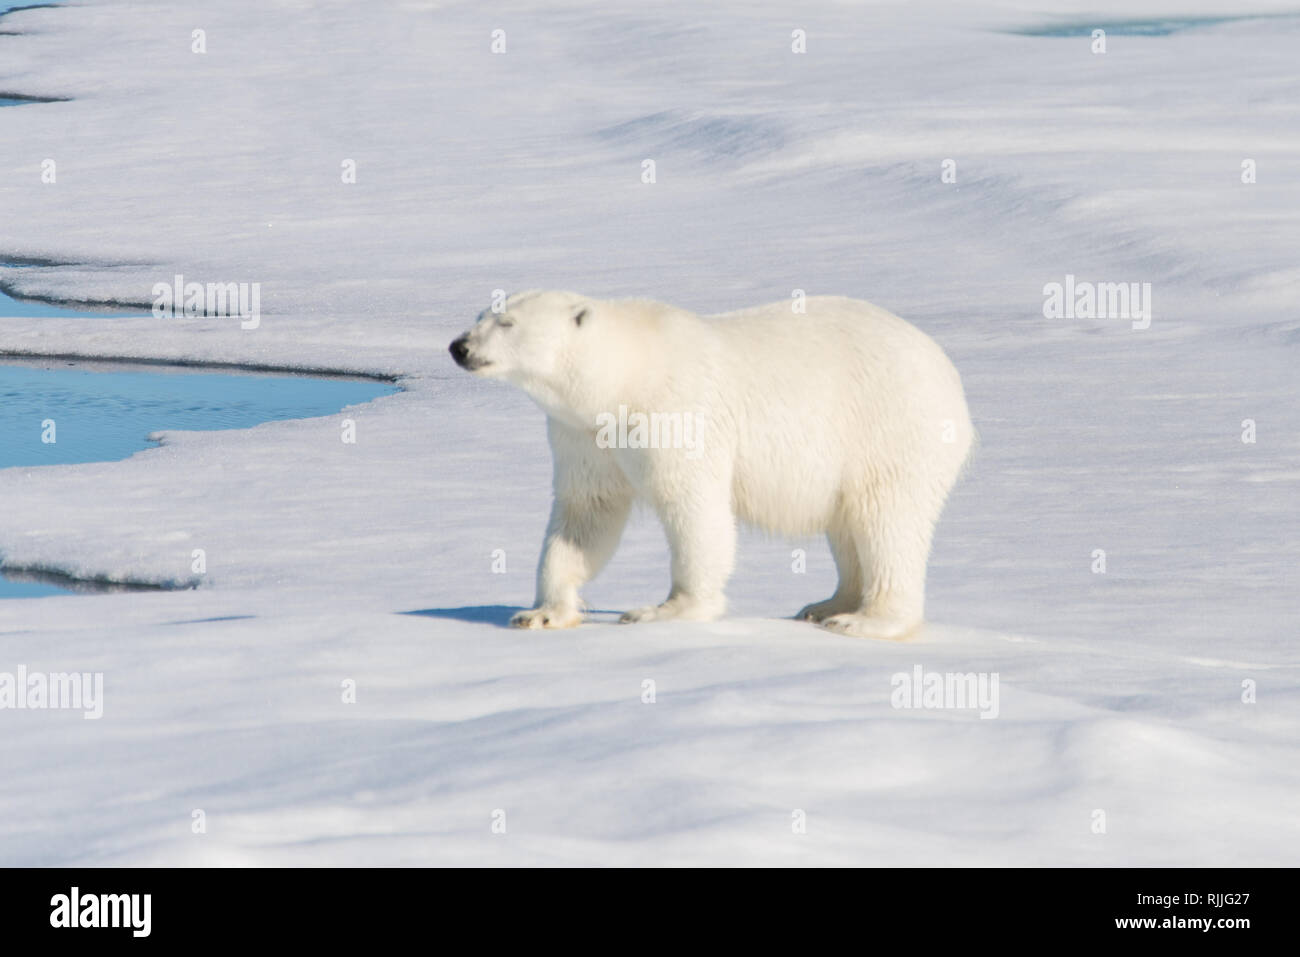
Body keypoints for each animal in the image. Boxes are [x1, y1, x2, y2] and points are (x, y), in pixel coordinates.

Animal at [449, 290, 973, 639]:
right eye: (479, 315)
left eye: (507, 323)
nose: (459, 347)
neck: (628, 376)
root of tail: (952, 379)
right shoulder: (584, 435)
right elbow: (586, 512)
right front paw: (541, 612)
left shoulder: (678, 411)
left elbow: (693, 507)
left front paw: (664, 610)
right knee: (847, 525)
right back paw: (826, 604)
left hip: (889, 427)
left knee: (885, 517)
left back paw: (865, 619)